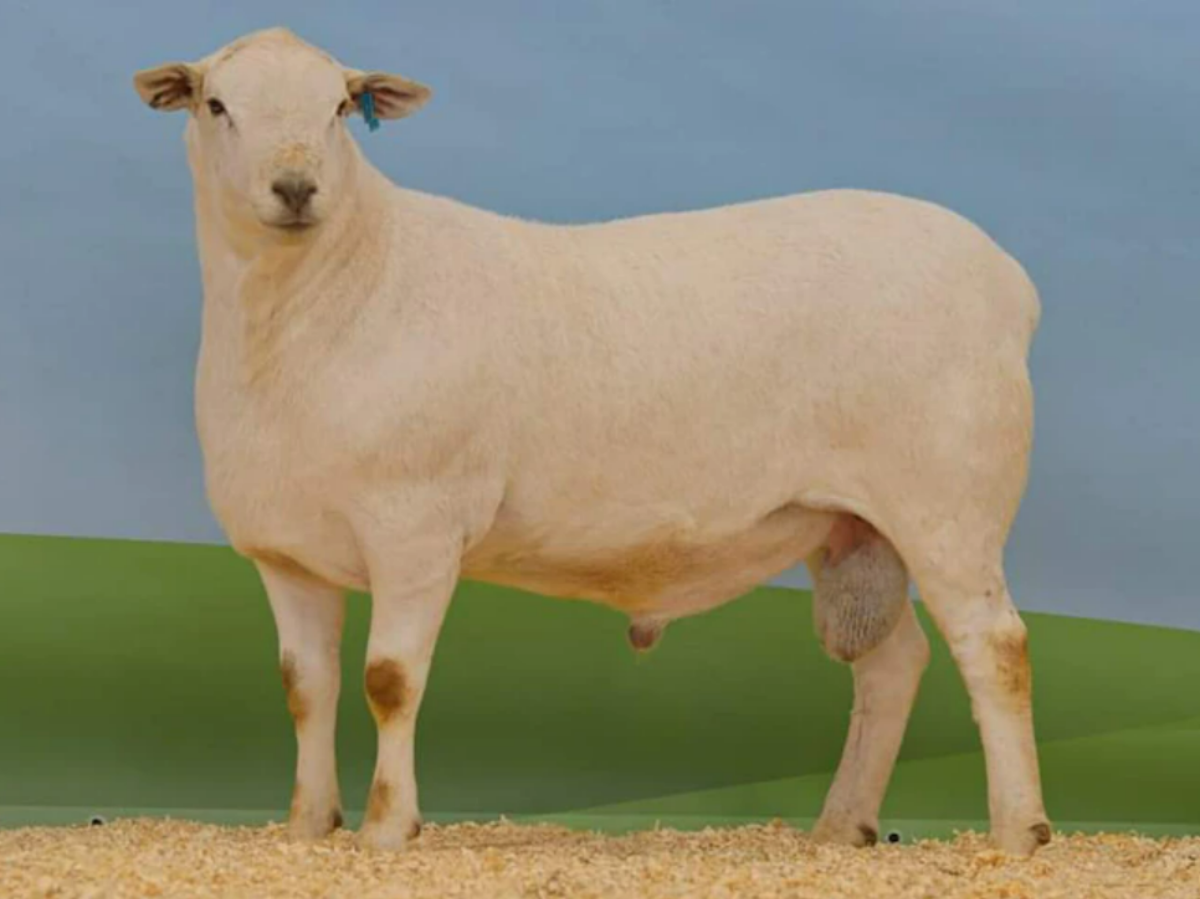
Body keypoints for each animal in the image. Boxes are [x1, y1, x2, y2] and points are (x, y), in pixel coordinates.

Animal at [132, 27, 1050, 856]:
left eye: (337, 108)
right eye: (217, 105)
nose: (296, 187)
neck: (326, 298)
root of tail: (1010, 280)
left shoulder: (416, 527)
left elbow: (388, 681)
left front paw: (389, 829)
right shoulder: (287, 552)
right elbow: (305, 687)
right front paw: (306, 825)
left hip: (949, 501)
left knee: (994, 647)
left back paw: (1019, 833)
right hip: (849, 525)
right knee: (893, 664)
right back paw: (840, 826)